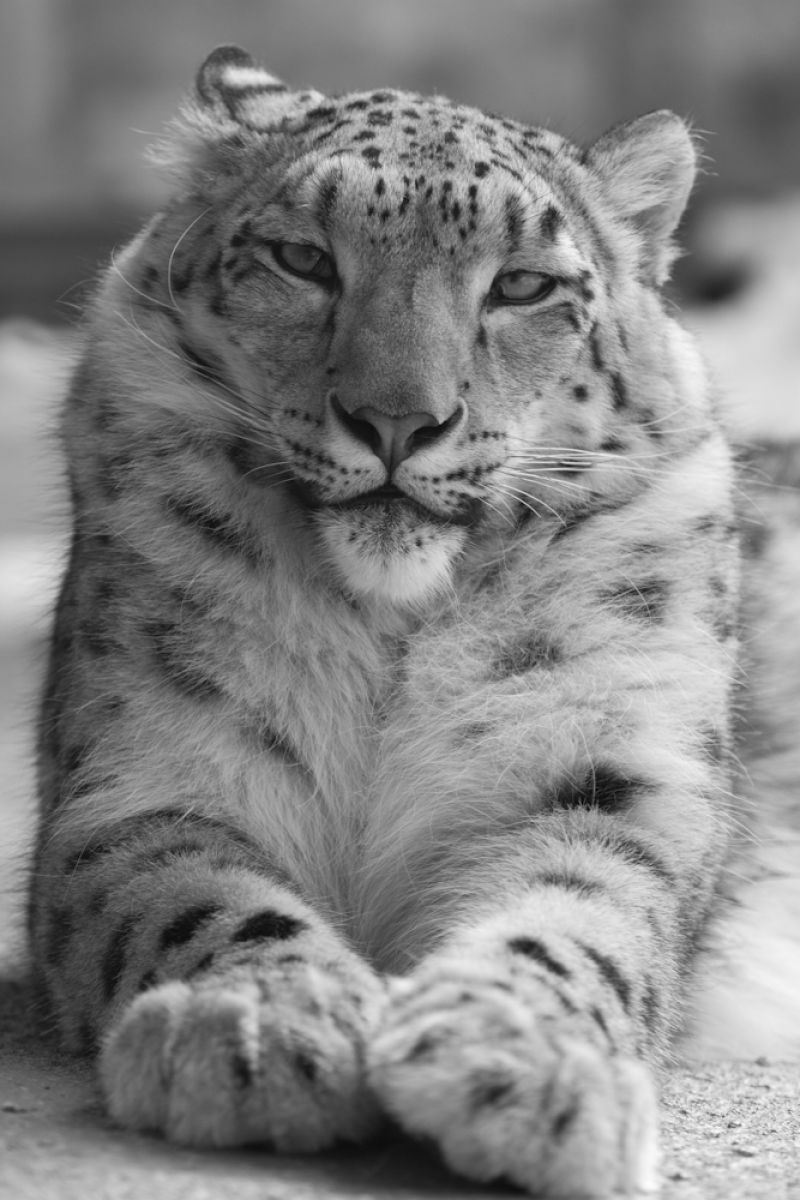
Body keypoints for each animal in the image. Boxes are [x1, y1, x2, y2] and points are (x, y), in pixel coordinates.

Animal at [28, 45, 741, 1197]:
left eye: (524, 284)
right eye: (301, 259)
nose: (398, 419)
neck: (391, 637)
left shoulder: (617, 769)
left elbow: (580, 910)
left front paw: (518, 1066)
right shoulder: (147, 768)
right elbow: (189, 892)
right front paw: (259, 1023)